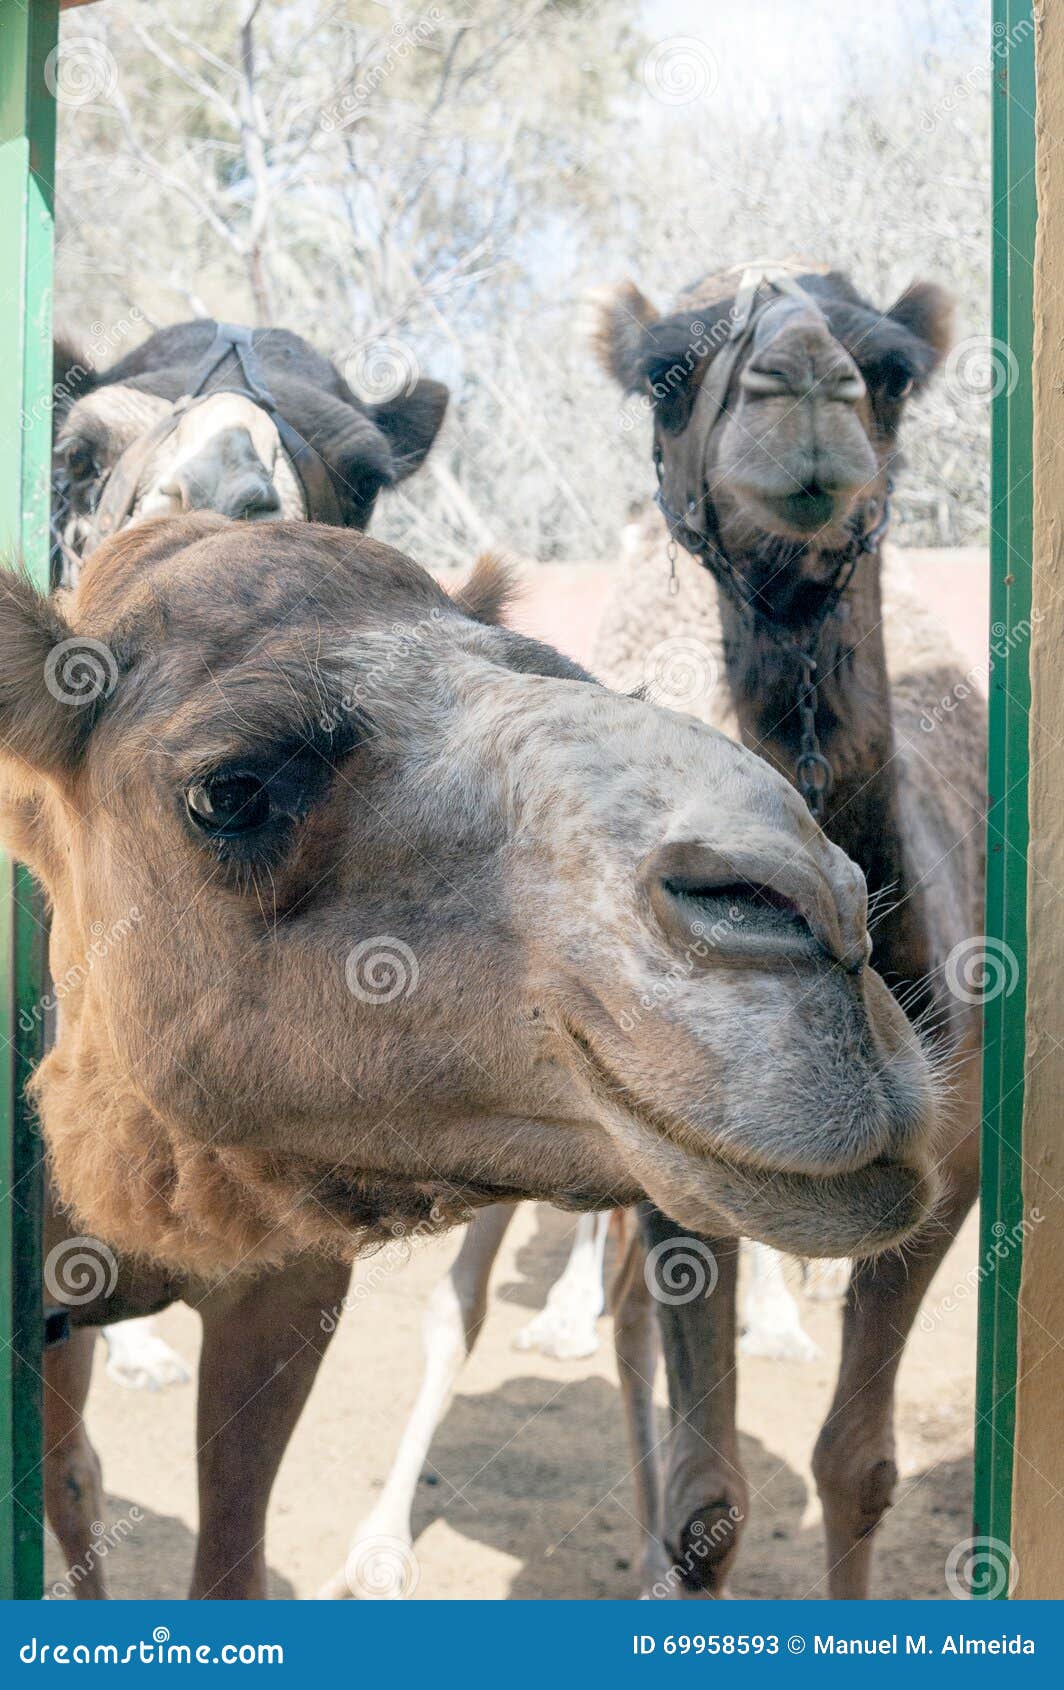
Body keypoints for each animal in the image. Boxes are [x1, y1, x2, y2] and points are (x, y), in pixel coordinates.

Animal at [583, 263, 985, 1598]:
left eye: (893, 370)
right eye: (663, 373)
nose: (805, 374)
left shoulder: (952, 1168)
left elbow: (855, 1466)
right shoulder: (678, 1175)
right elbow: (709, 1505)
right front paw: (670, 1548)